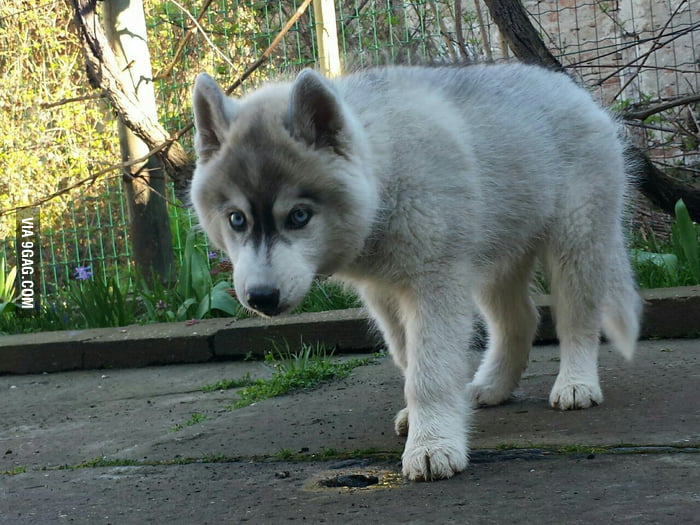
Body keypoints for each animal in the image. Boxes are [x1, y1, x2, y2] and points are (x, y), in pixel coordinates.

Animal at [189, 63, 642, 481]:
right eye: (236, 220)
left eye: (299, 216)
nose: (260, 298)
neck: (385, 173)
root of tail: (570, 87)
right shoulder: (385, 295)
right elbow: (408, 359)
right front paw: (423, 420)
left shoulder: (434, 284)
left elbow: (429, 372)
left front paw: (431, 445)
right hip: (494, 257)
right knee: (519, 320)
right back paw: (491, 386)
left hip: (577, 241)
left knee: (576, 317)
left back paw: (576, 383)